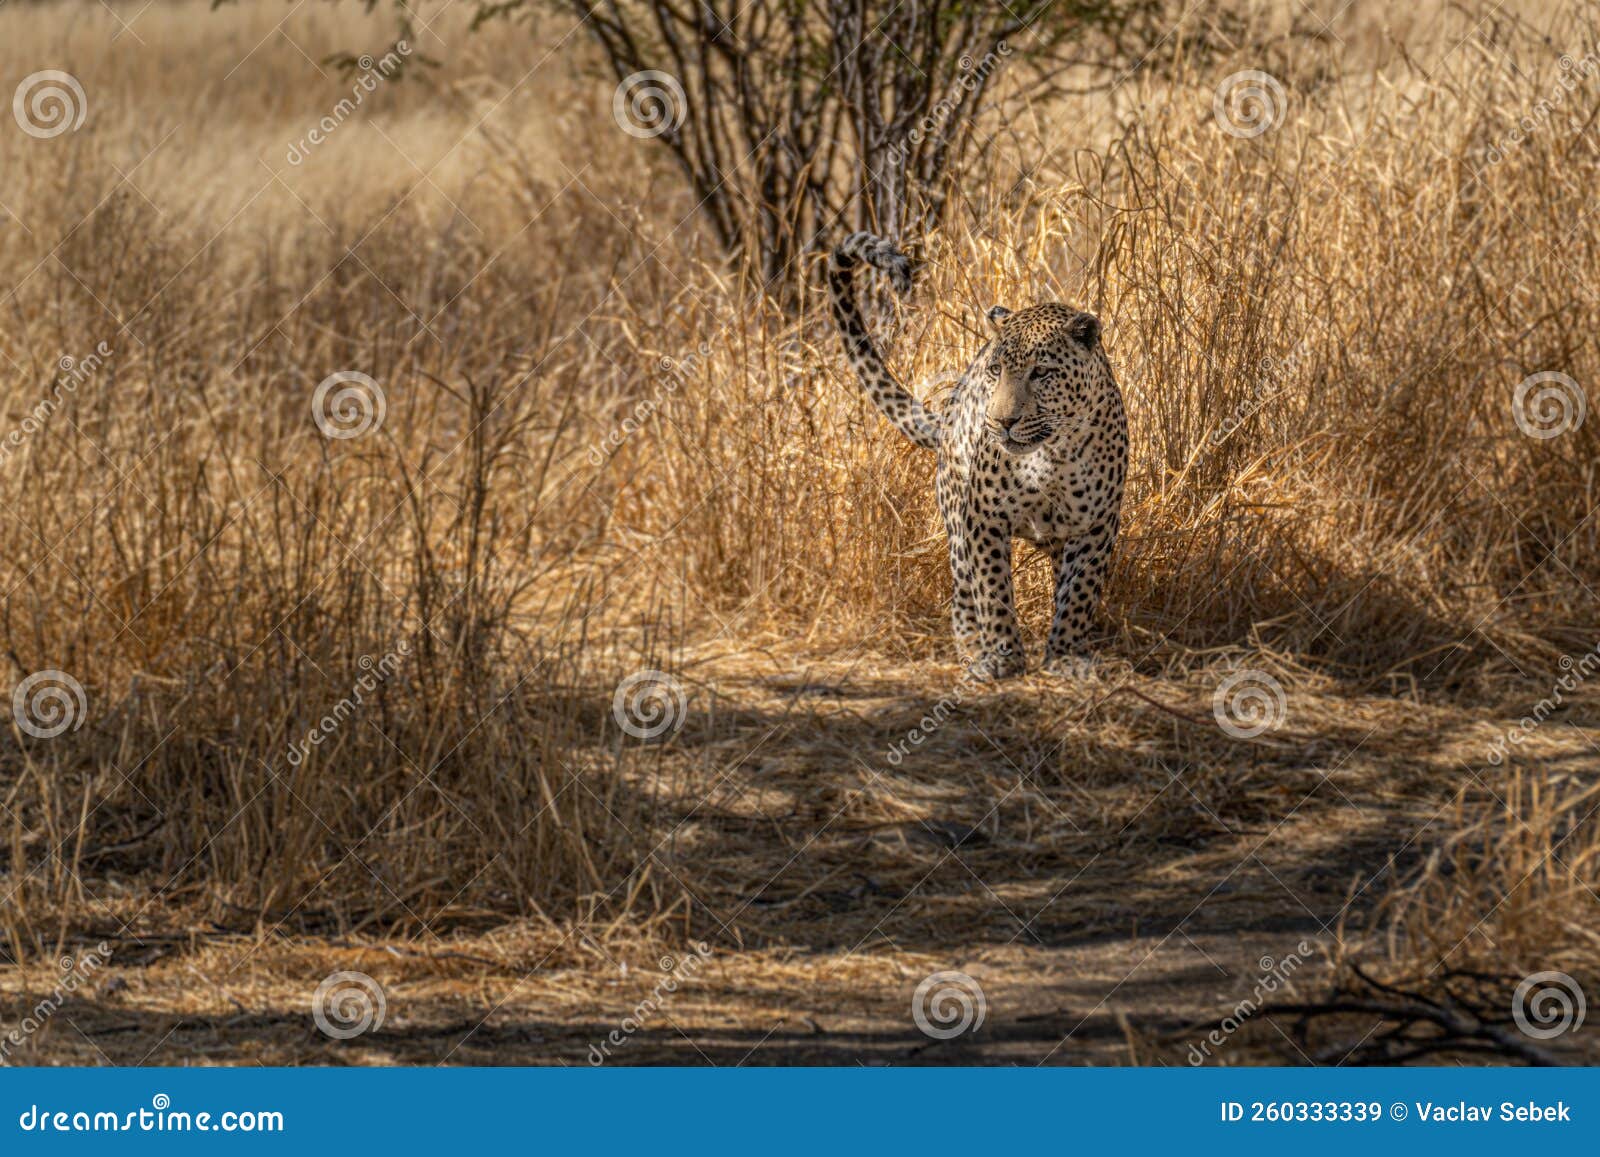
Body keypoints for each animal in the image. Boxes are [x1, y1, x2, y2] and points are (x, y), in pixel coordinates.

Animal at [827, 231, 1127, 679]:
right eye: (996, 369)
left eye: (1042, 372)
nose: (1001, 421)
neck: (1053, 455)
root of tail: (949, 413)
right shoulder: (983, 517)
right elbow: (993, 590)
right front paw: (1002, 657)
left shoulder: (1096, 525)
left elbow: (1078, 594)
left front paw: (1065, 655)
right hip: (955, 512)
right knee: (964, 589)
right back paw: (971, 646)